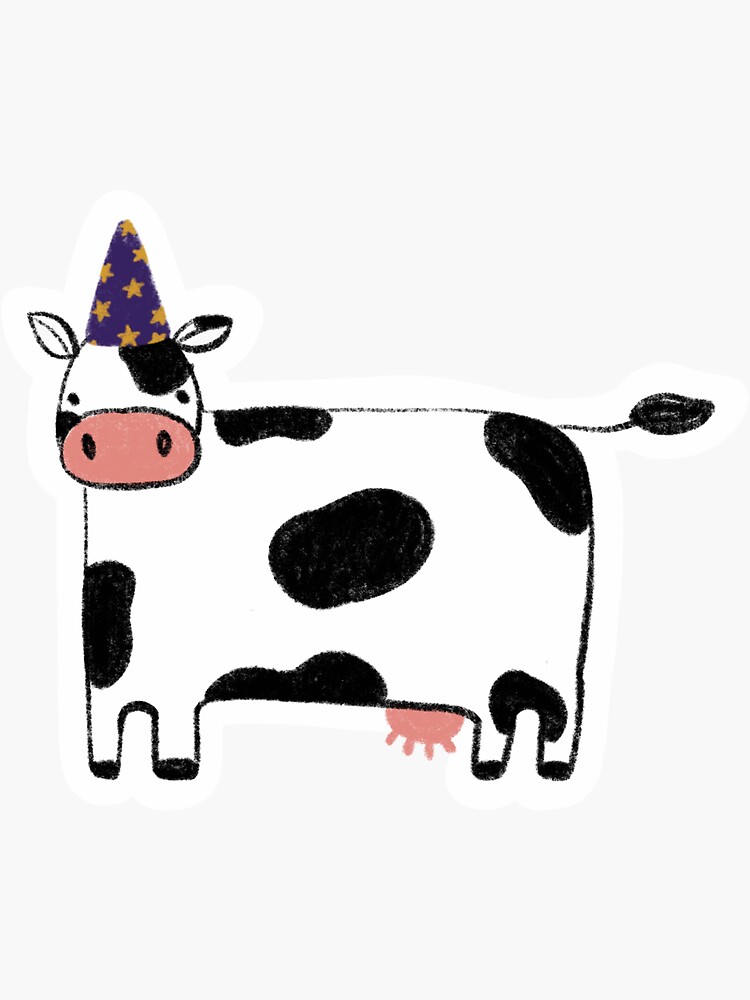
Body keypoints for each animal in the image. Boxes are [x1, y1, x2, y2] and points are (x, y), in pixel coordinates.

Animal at [25, 219, 716, 795]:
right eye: (72, 394)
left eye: (181, 391)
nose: (127, 439)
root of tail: (558, 433)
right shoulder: (109, 657)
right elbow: (109, 723)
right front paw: (110, 771)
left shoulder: (167, 667)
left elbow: (170, 728)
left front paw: (173, 772)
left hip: (542, 644)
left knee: (544, 715)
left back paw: (528, 774)